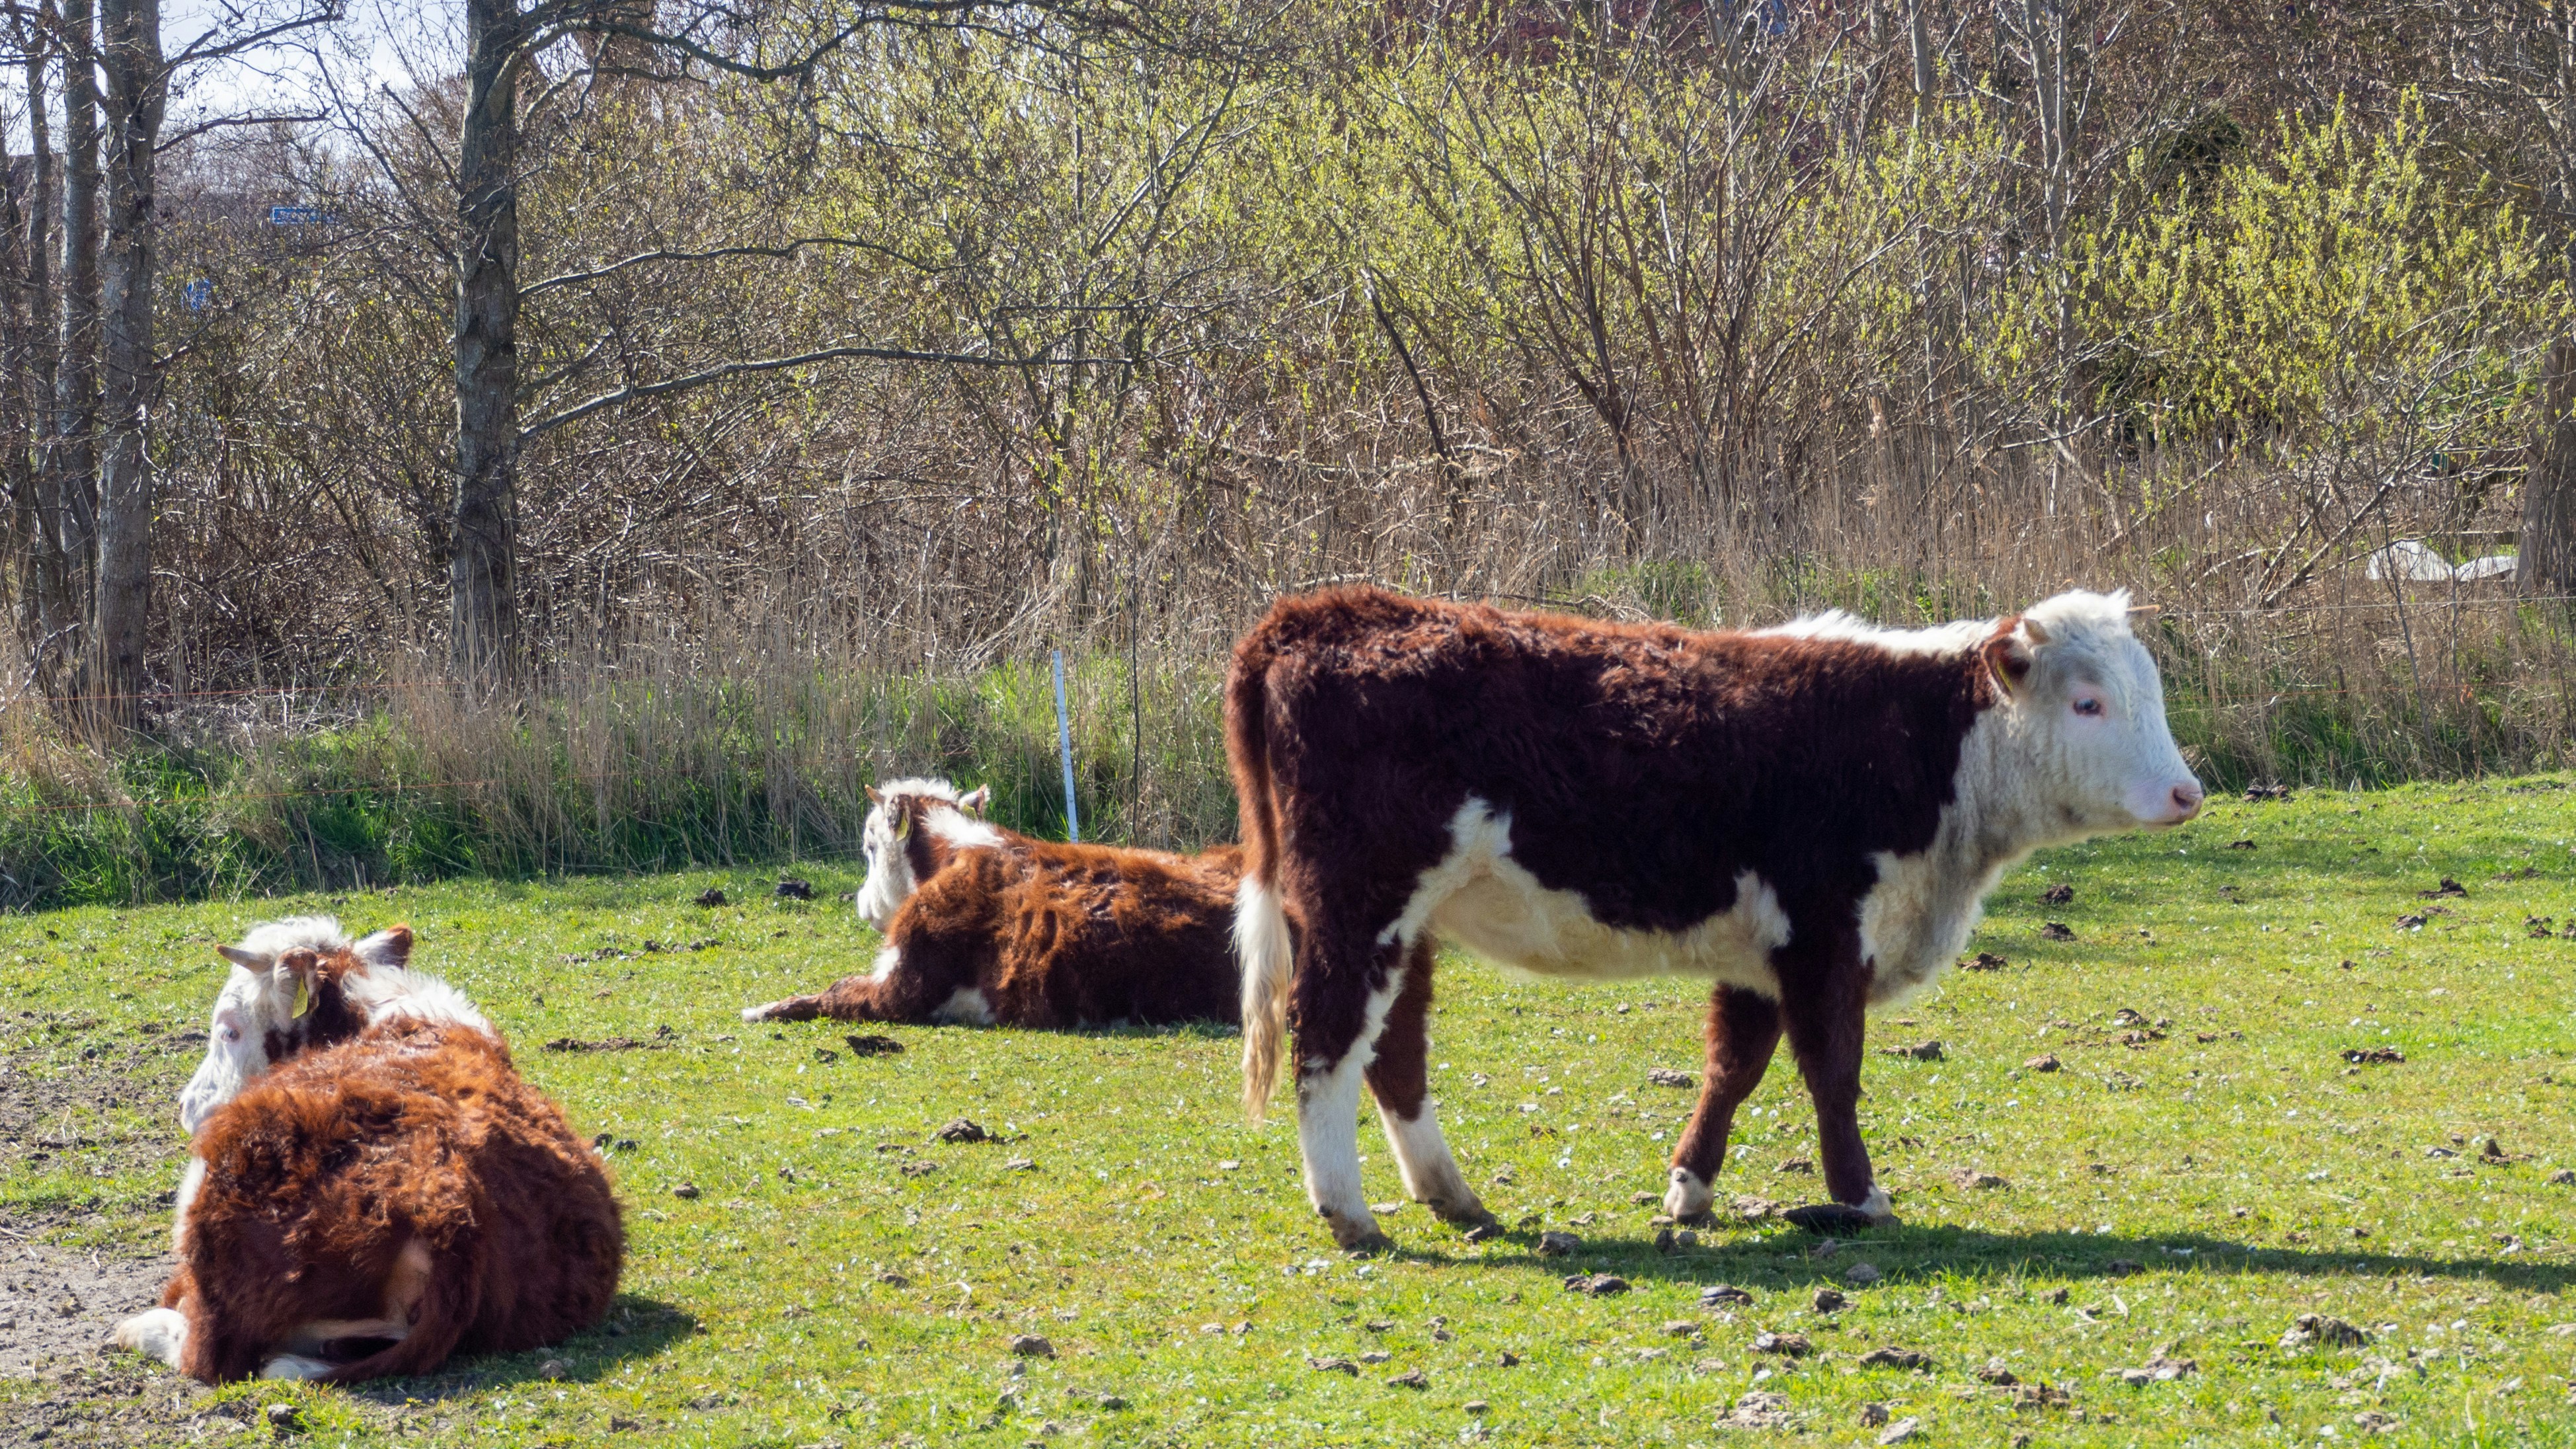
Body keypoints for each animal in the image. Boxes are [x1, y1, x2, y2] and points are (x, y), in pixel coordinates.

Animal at [1226, 586, 2203, 1250]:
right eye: (2088, 702)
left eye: (2148, 695)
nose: (2187, 793)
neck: (1914, 739)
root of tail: (1328, 612)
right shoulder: (1824, 932)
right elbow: (1833, 1071)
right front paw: (1861, 1198)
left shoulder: (1762, 951)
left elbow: (1735, 1066)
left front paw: (1689, 1188)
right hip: (1360, 904)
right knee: (1328, 1038)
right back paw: (1350, 1212)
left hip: (1403, 921)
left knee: (1394, 1046)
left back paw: (1452, 1195)